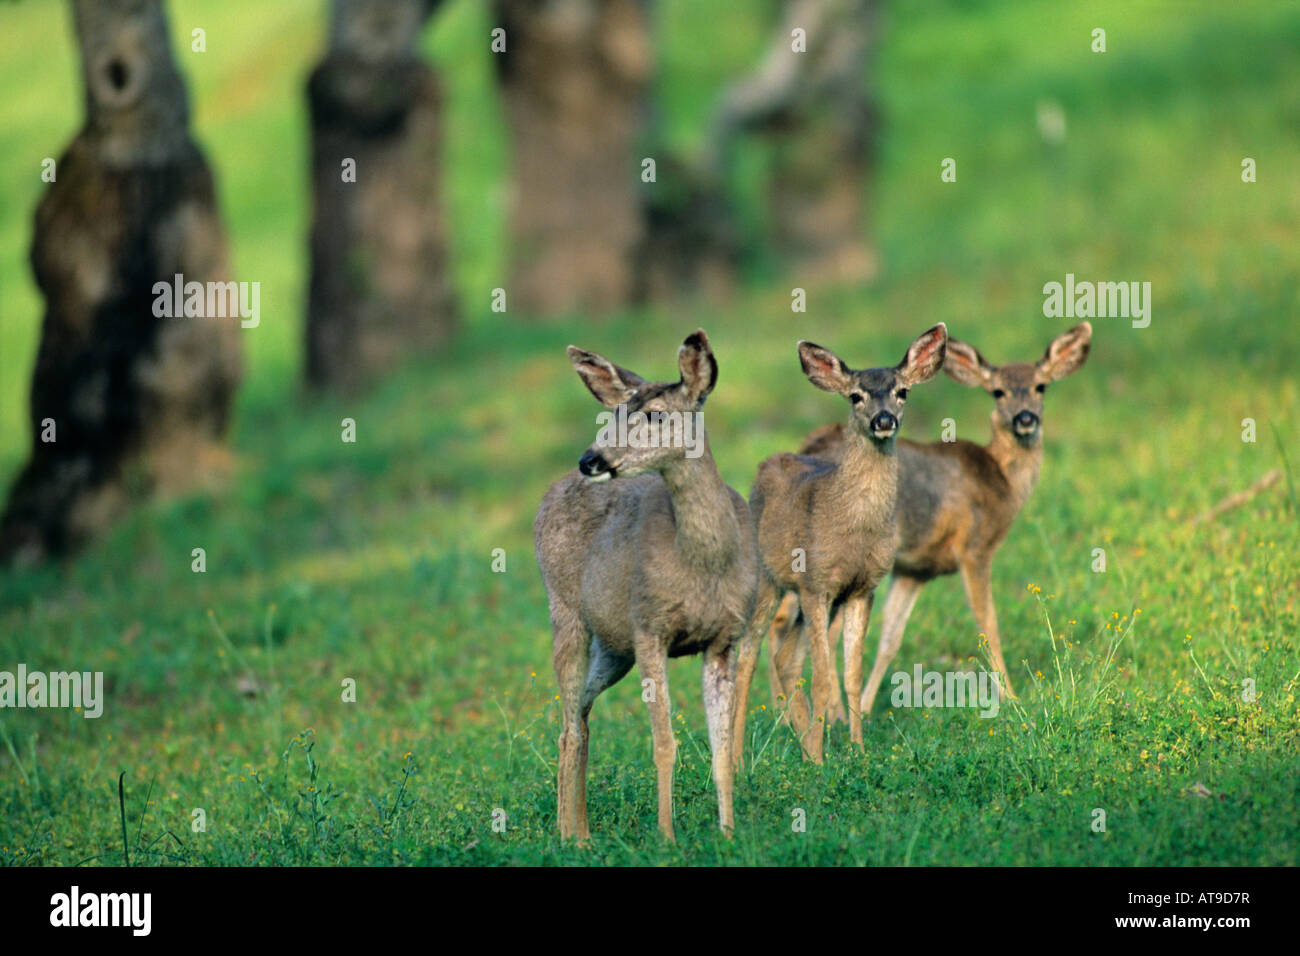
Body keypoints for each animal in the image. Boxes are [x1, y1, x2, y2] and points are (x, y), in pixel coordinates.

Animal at [534, 330, 760, 842]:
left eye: (655, 415)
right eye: (615, 414)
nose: (590, 459)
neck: (703, 563)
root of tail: (549, 491)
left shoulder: (724, 639)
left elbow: (721, 749)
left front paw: (728, 833)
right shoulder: (649, 628)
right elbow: (664, 744)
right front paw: (667, 837)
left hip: (614, 648)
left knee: (581, 715)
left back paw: (580, 831)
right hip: (566, 613)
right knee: (568, 725)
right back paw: (569, 838)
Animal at [732, 325, 948, 765]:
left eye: (902, 391)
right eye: (855, 396)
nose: (884, 420)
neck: (855, 528)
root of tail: (768, 462)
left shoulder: (861, 588)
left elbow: (850, 676)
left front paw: (856, 750)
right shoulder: (816, 585)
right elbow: (822, 679)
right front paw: (819, 760)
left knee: (784, 657)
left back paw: (799, 740)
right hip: (767, 578)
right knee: (748, 658)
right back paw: (741, 760)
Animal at [766, 322, 1093, 719]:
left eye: (1040, 386)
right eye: (997, 391)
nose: (1025, 418)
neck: (1001, 481)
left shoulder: (916, 570)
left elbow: (891, 638)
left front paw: (867, 707)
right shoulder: (973, 548)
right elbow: (988, 622)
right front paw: (1013, 699)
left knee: (783, 619)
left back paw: (786, 715)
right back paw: (827, 716)